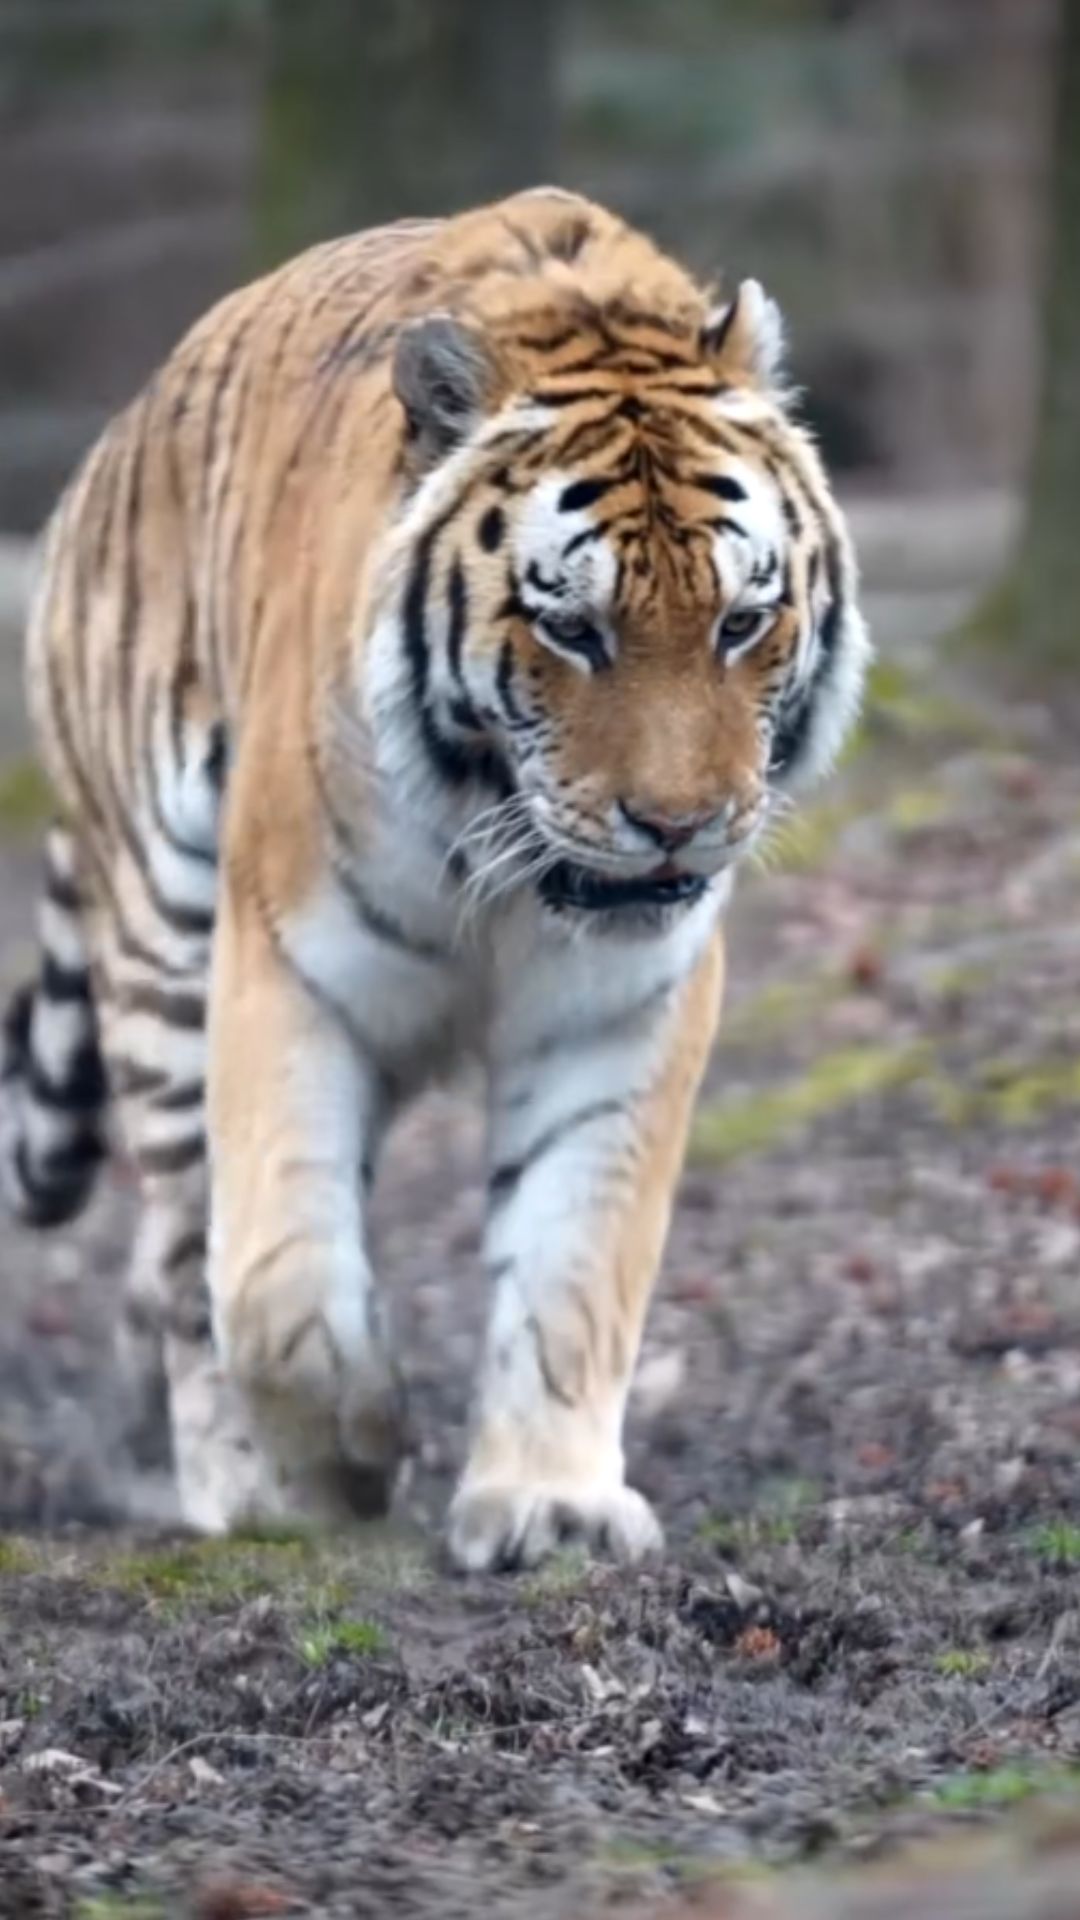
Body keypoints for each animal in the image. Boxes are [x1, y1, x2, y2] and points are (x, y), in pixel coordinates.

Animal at [0, 187, 868, 1570]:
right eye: (573, 630)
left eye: (741, 622)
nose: (679, 826)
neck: (506, 870)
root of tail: (122, 432)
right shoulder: (288, 961)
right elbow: (277, 1278)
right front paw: (350, 1453)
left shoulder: (623, 1011)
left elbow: (575, 1261)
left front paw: (549, 1505)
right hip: (160, 942)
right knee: (184, 1242)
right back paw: (227, 1480)